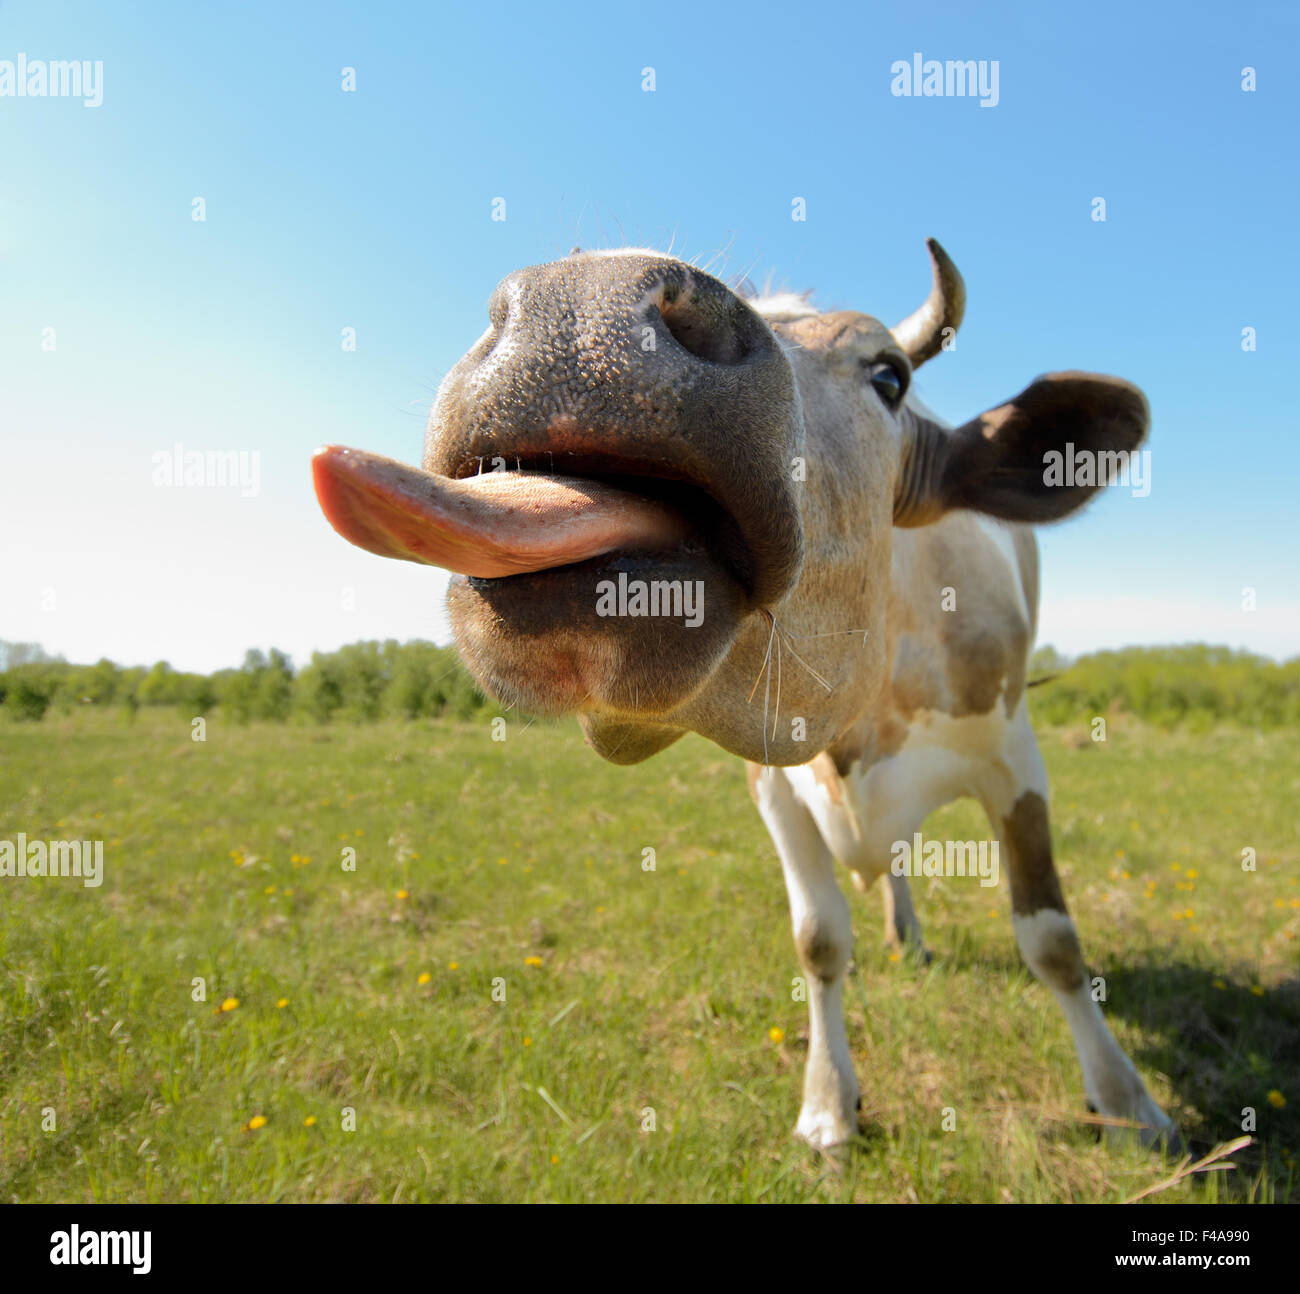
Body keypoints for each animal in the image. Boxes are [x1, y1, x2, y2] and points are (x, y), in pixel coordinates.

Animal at [311, 239, 1177, 1153]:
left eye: (890, 377)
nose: (587, 305)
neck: (862, 722)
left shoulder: (1014, 755)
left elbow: (1053, 939)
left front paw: (1128, 1100)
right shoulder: (773, 783)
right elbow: (818, 939)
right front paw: (829, 1104)